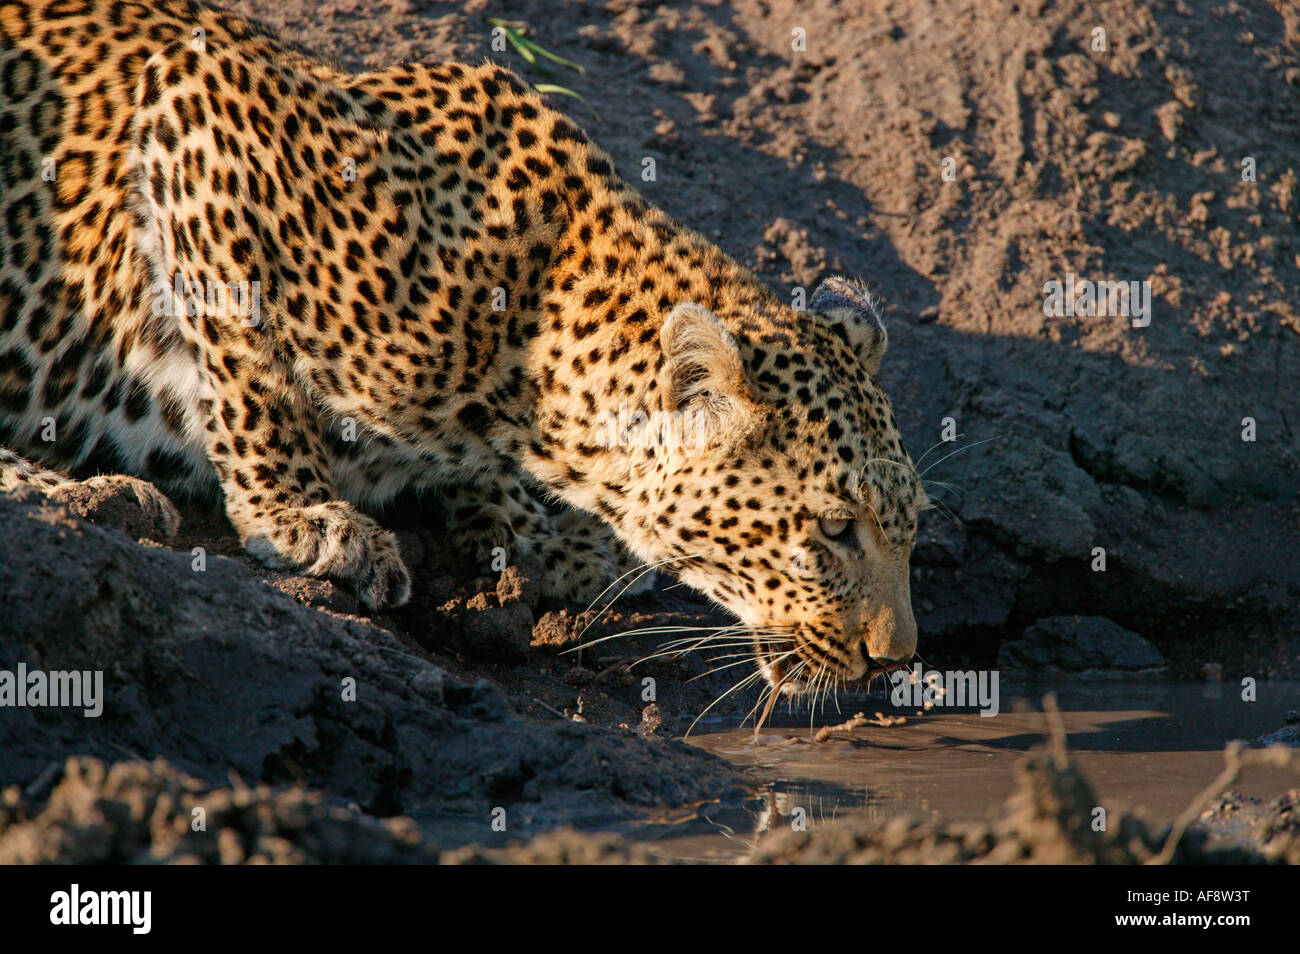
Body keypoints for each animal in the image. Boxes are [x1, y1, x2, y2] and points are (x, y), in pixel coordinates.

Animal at [0, 0, 928, 692]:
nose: (896, 661)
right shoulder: (204, 101)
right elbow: (249, 368)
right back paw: (91, 496)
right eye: (834, 529)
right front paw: (303, 516)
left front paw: (539, 536)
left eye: (910, 526)